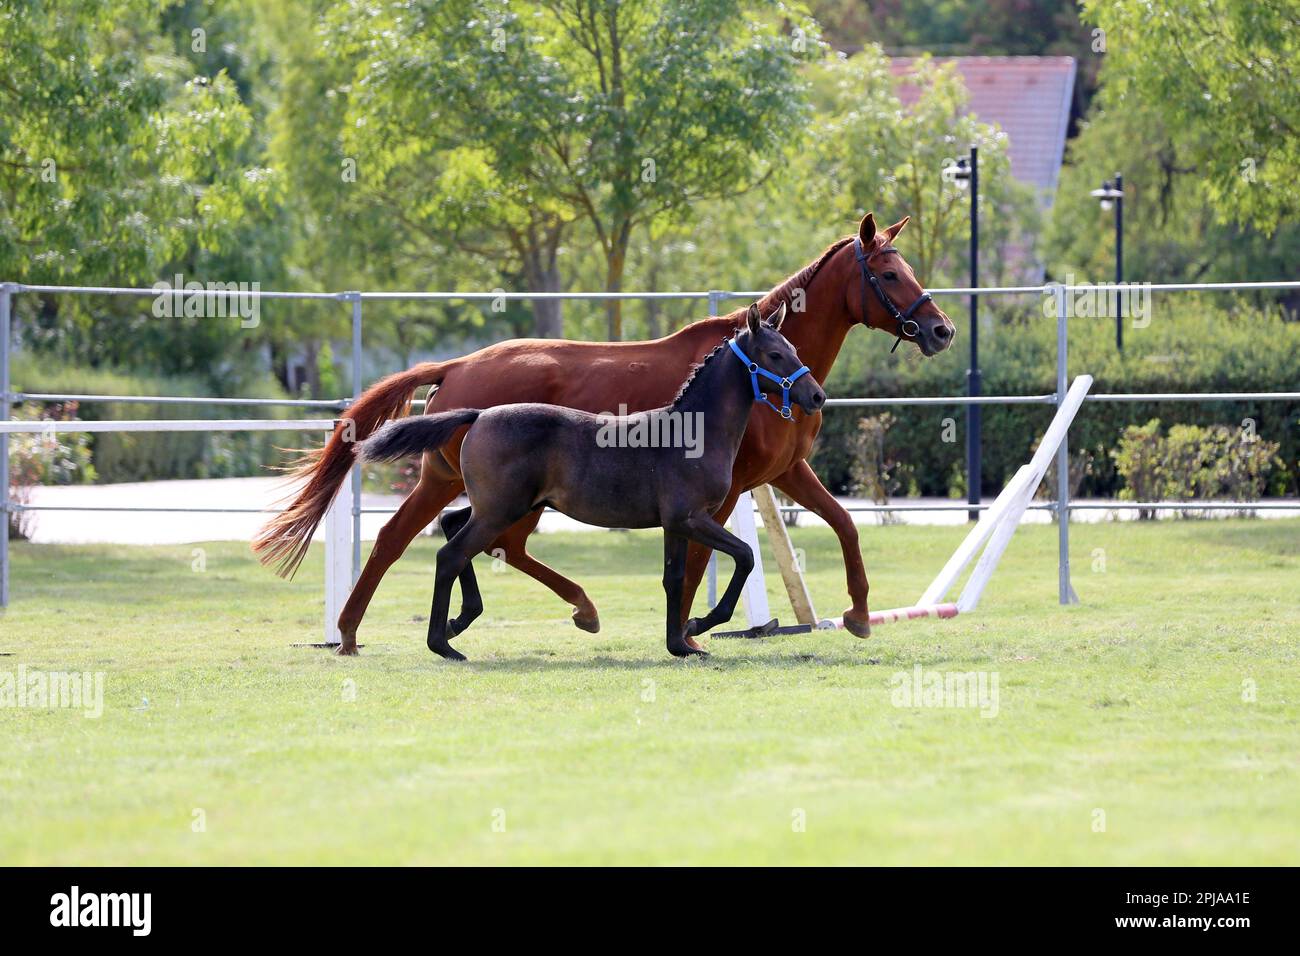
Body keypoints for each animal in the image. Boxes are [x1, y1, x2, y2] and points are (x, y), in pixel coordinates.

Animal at [359, 303, 825, 660]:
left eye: (792, 348)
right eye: (774, 354)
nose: (817, 396)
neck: (694, 431)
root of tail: (478, 415)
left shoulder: (674, 525)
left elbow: (673, 579)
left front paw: (680, 645)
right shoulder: (690, 518)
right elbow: (744, 555)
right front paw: (701, 623)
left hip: (503, 507)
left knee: (452, 526)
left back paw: (461, 621)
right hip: (501, 510)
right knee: (451, 554)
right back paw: (444, 644)